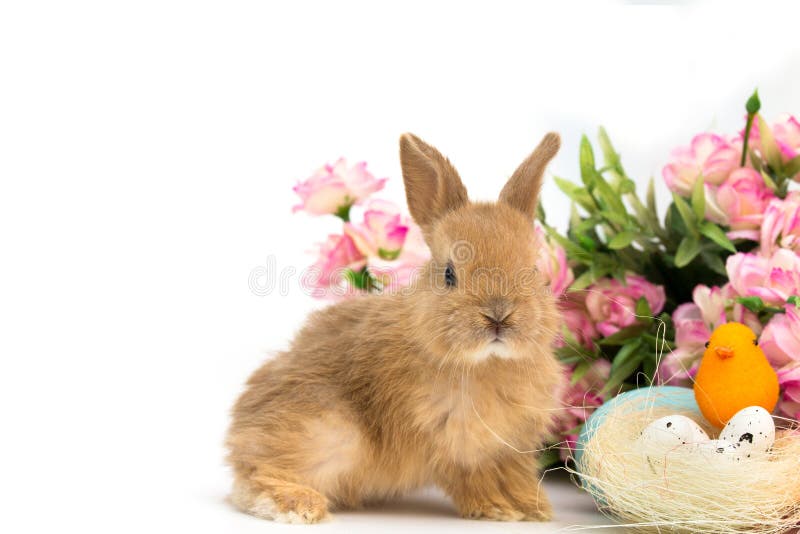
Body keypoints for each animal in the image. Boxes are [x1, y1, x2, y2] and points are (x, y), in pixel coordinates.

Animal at [226, 132, 565, 524]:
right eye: (449, 274)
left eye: (535, 270)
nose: (498, 315)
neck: (485, 363)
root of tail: (237, 432)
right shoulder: (454, 445)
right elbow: (472, 479)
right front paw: (498, 509)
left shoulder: (510, 449)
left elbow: (514, 475)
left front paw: (533, 507)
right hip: (328, 432)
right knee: (257, 477)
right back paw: (301, 505)